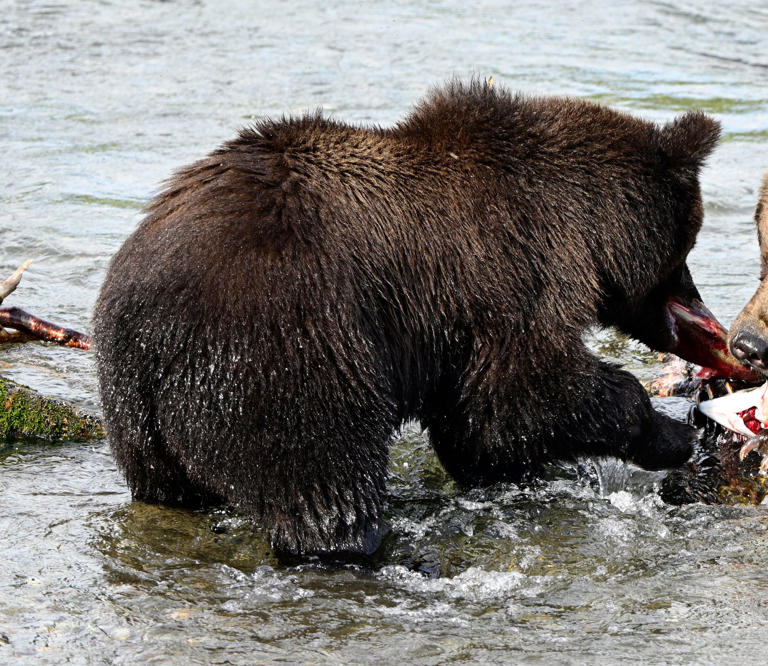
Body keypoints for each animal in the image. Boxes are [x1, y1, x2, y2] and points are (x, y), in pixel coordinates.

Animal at [93, 80, 737, 558]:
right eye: (687, 246)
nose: (711, 321)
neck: (576, 227)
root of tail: (146, 328)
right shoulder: (504, 278)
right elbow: (525, 393)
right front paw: (672, 433)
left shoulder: (457, 331)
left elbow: (479, 428)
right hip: (285, 346)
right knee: (320, 471)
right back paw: (366, 544)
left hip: (136, 414)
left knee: (168, 483)